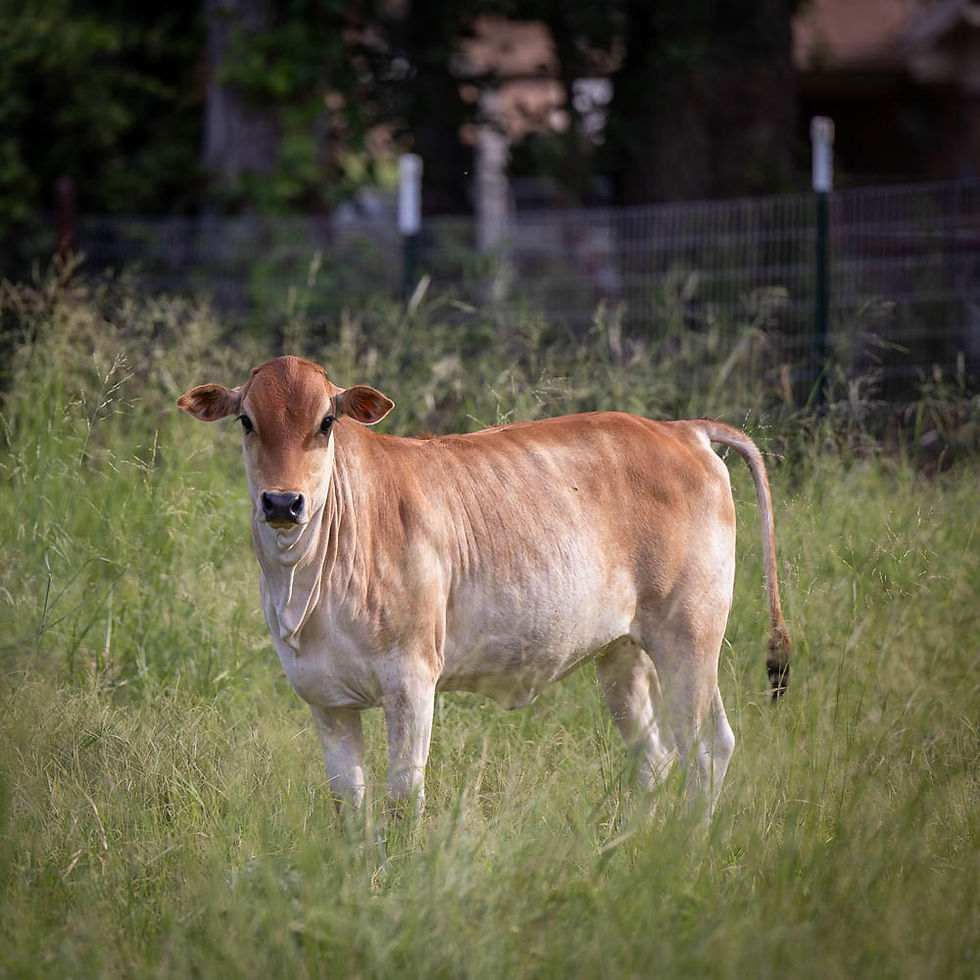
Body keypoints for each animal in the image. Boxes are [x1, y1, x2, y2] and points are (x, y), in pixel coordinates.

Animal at [178, 355, 790, 816]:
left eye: (327, 421)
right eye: (246, 421)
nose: (283, 502)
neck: (304, 587)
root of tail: (682, 429)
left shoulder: (412, 683)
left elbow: (403, 800)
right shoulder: (325, 700)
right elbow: (351, 805)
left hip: (690, 637)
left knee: (707, 750)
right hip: (623, 655)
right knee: (654, 760)